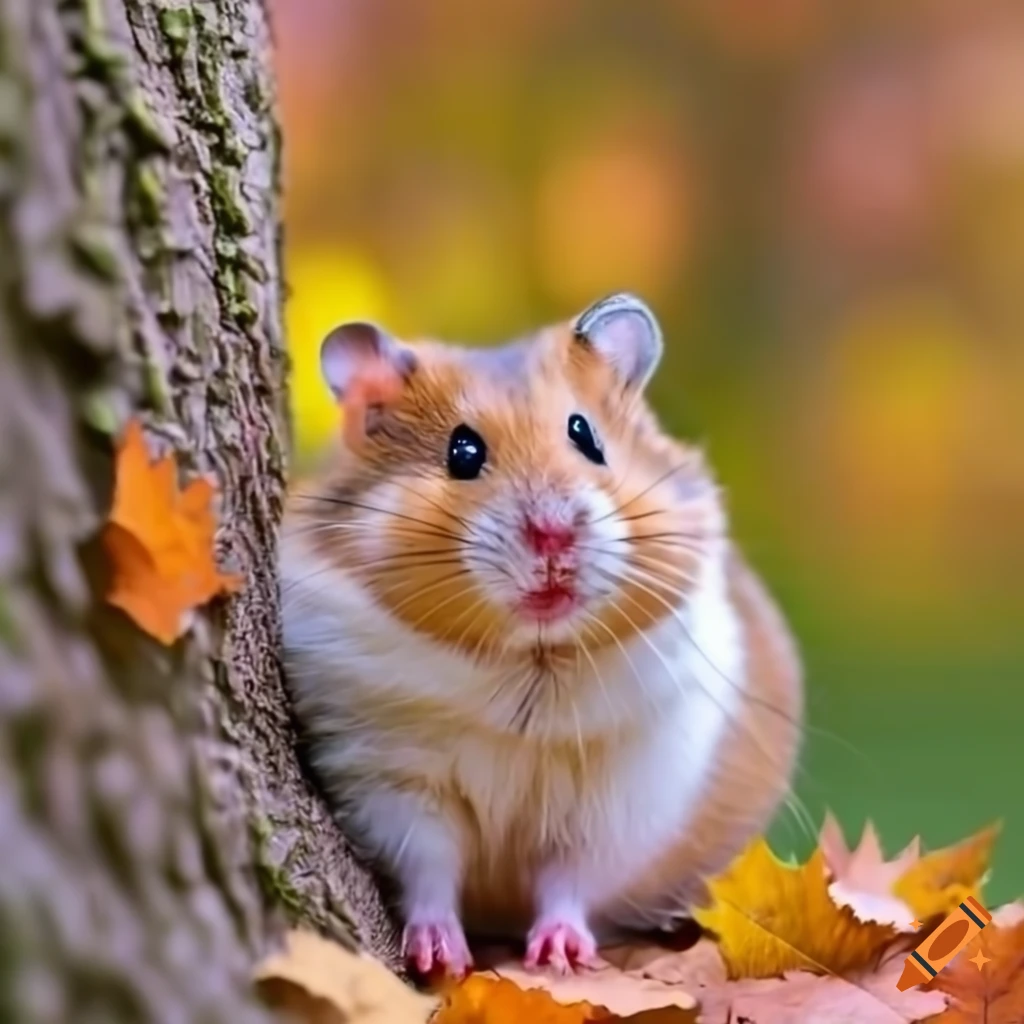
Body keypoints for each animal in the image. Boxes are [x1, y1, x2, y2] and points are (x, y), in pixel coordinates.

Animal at [280, 294, 803, 977]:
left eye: (587, 437)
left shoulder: (619, 801)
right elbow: (429, 867)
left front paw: (559, 956)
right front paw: (439, 958)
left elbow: (568, 878)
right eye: (462, 452)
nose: (554, 536)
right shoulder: (394, 781)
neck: (531, 658)